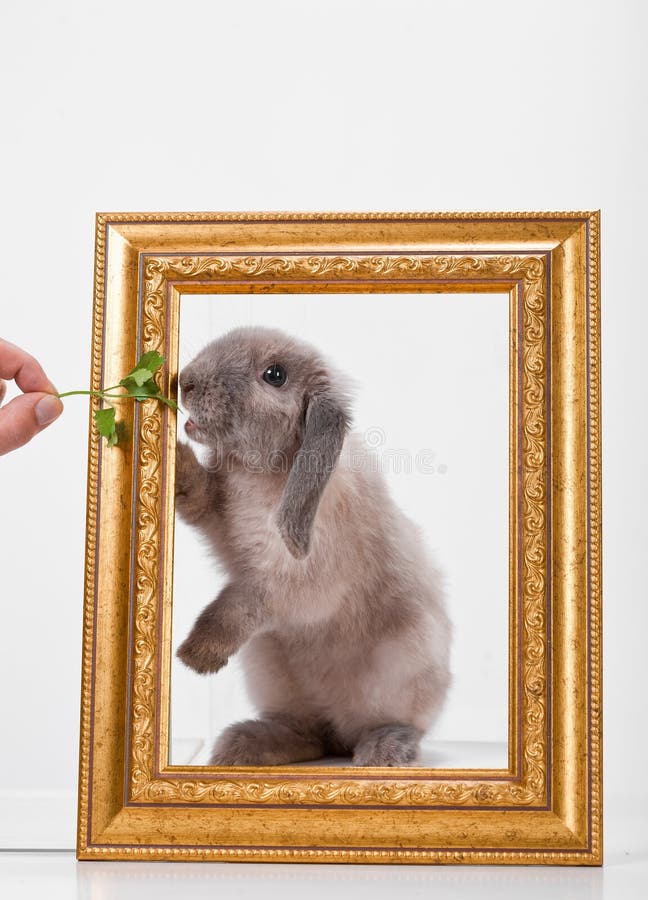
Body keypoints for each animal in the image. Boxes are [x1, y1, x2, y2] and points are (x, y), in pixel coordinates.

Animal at [175, 325, 451, 767]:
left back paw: (383, 751)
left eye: (275, 375)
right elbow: (200, 496)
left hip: (407, 665)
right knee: (307, 734)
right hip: (272, 672)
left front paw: (197, 654)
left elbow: (242, 602)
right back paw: (243, 745)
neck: (258, 474)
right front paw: (178, 464)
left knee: (393, 725)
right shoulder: (221, 519)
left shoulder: (301, 588)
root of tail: (340, 737)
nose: (185, 382)